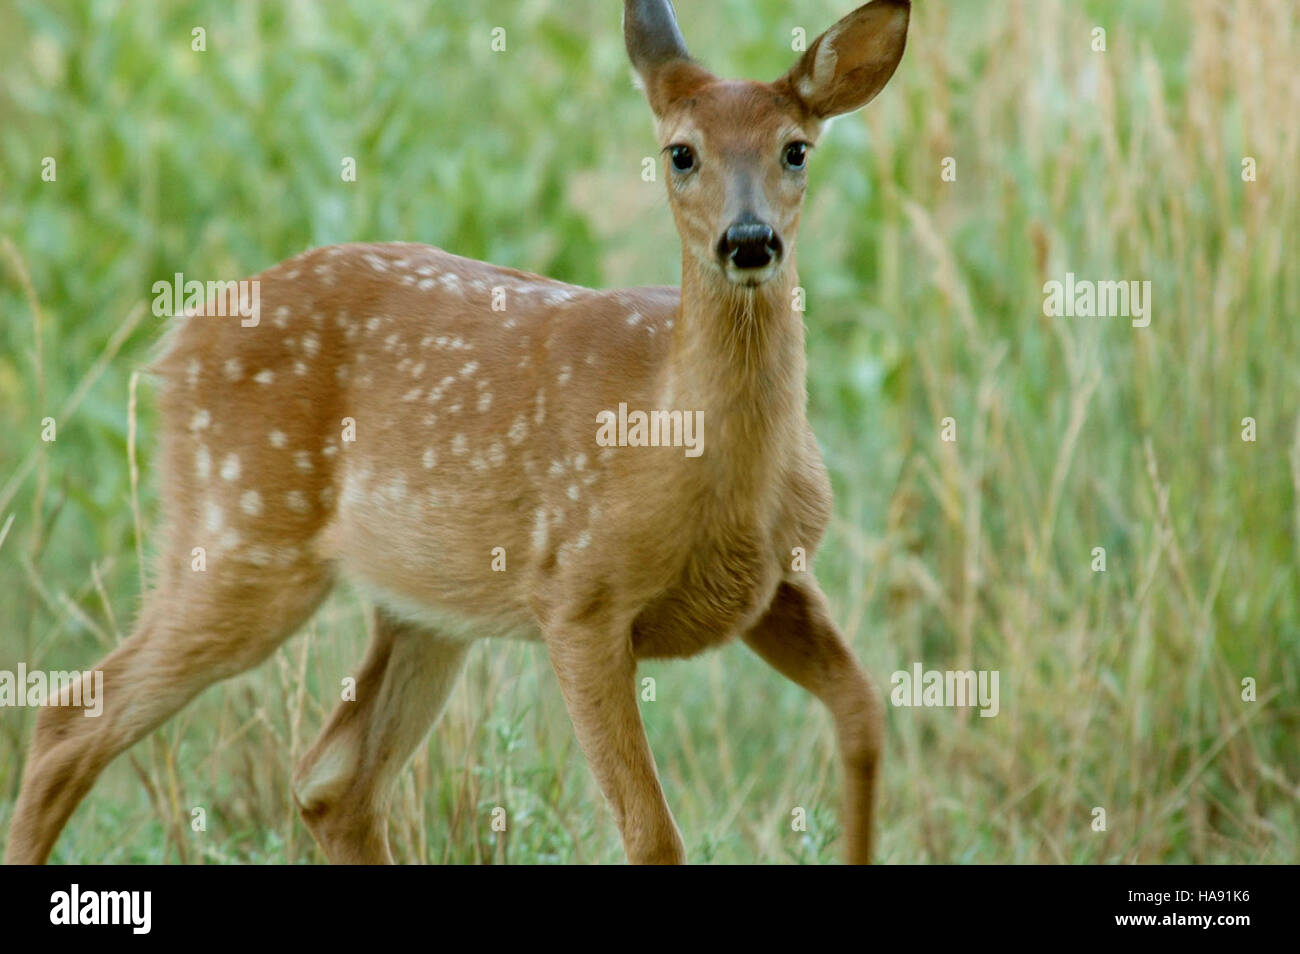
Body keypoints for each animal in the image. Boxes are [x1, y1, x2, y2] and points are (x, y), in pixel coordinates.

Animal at [5, 0, 909, 865]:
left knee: (331, 779)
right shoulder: (577, 595)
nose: (749, 240)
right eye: (680, 153)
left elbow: (864, 714)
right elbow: (653, 835)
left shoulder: (777, 583)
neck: (689, 451)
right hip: (241, 534)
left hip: (420, 606)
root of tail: (175, 340)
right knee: (66, 720)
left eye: (796, 149)